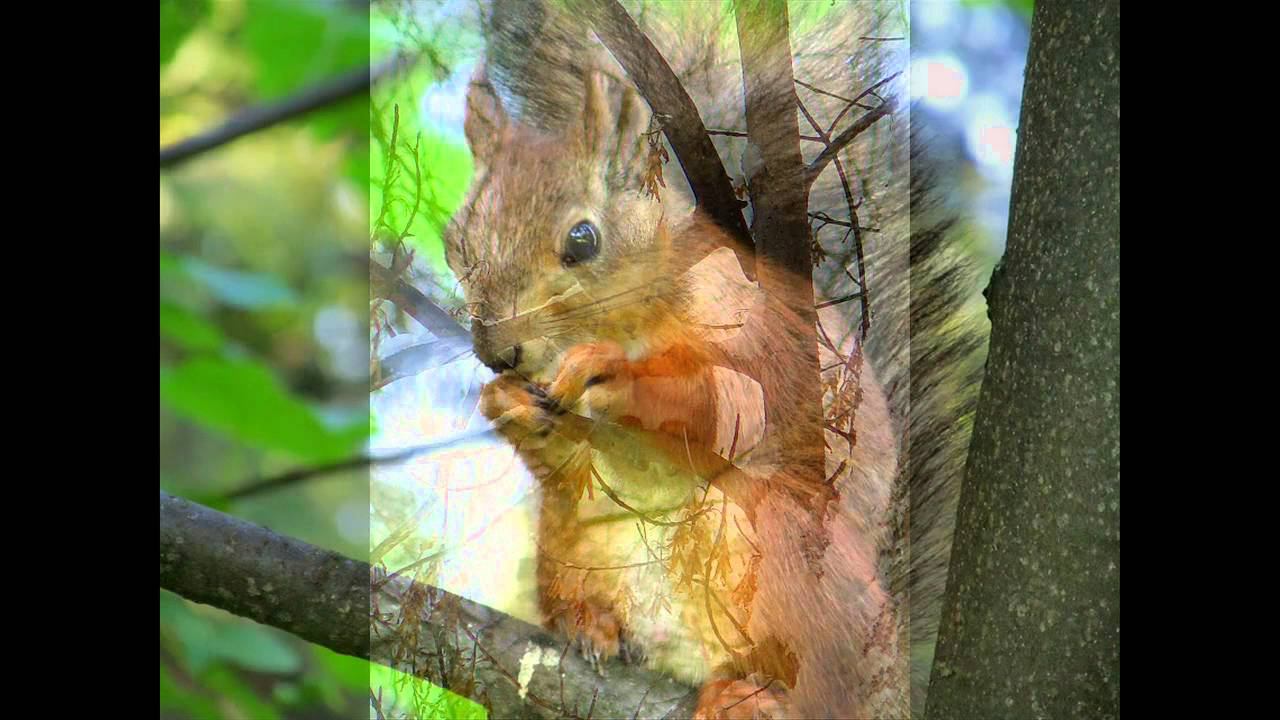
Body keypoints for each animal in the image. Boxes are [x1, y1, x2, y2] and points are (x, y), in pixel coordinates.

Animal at [441, 2, 986, 718]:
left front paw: (608, 372)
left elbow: (728, 408)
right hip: (568, 544)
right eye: (455, 243)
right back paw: (591, 625)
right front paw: (504, 402)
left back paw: (753, 692)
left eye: (582, 240)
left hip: (788, 556)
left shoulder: (750, 336)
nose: (496, 353)